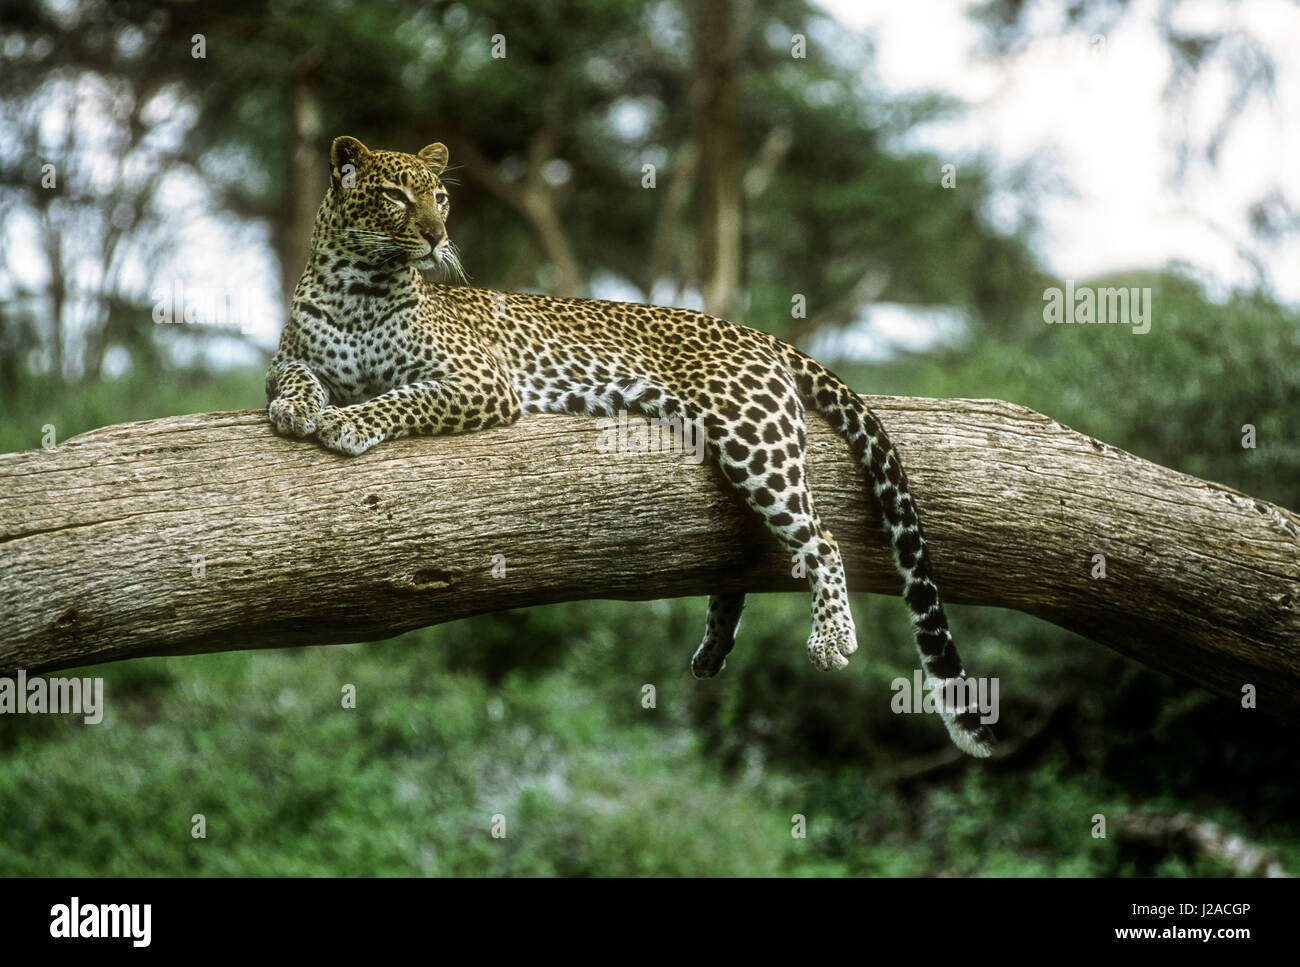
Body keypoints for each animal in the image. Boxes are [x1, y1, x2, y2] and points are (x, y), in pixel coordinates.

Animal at [266, 136, 996, 757]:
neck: (358, 285)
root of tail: (754, 332)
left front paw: (349, 423)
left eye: (440, 197)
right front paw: (296, 410)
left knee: (821, 538)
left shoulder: (479, 382)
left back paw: (831, 636)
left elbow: (398, 399)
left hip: (752, 433)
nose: (437, 235)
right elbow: (296, 379)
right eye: (396, 196)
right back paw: (713, 651)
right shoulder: (291, 360)